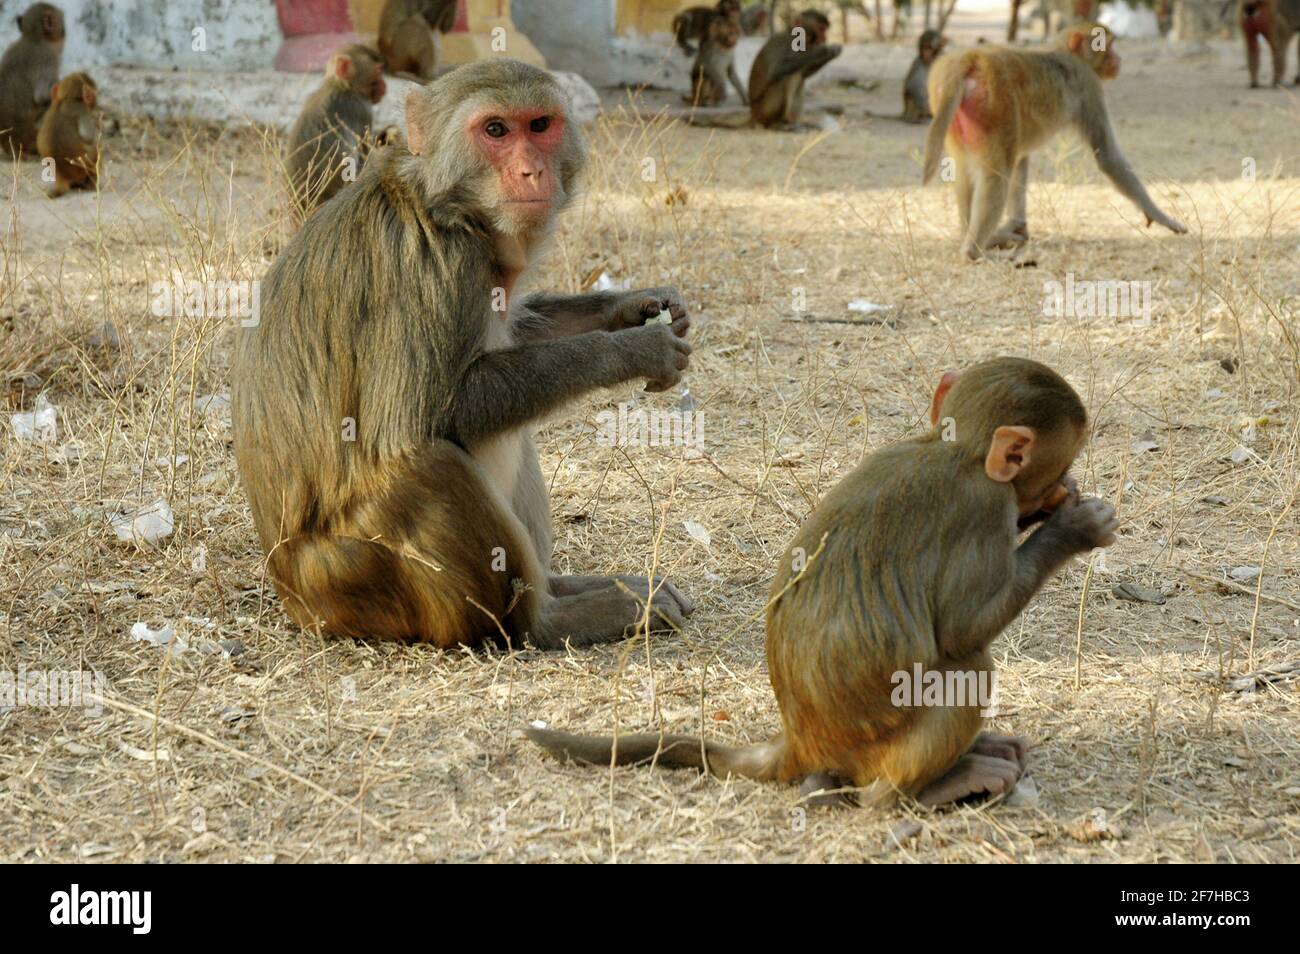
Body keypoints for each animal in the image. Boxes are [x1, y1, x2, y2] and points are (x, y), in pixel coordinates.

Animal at [528, 357, 1118, 808]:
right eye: (1056, 470)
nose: (1067, 486)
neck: (953, 449)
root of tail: (800, 742)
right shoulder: (985, 508)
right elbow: (961, 630)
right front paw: (1073, 530)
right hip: (869, 744)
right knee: (968, 668)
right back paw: (916, 791)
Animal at [922, 24, 1186, 261]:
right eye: (1107, 45)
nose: (1118, 58)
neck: (1067, 52)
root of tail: (971, 59)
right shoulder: (1088, 84)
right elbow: (1107, 156)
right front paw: (1159, 215)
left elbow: (1021, 160)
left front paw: (1018, 225)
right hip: (995, 107)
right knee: (997, 175)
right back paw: (973, 251)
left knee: (967, 172)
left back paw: (976, 237)